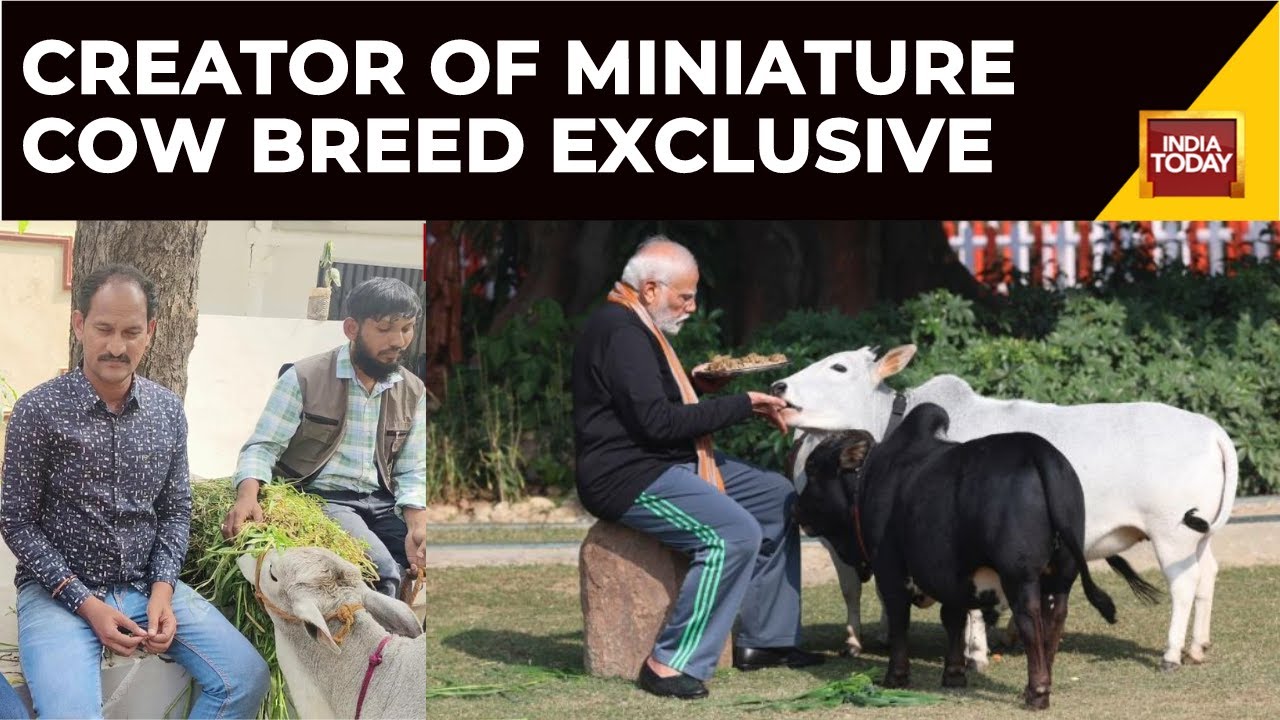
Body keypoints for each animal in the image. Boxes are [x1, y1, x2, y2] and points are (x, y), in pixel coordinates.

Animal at [774, 344, 1238, 672]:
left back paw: (1172, 654)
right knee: (1207, 575)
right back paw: (1198, 646)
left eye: (839, 368)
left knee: (1183, 585)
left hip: (1171, 533)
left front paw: (975, 653)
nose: (779, 387)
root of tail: (1212, 430)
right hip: (1195, 536)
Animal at [793, 405, 1119, 710]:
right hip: (1061, 575)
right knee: (1056, 616)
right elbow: (953, 619)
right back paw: (1042, 682)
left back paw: (1037, 692)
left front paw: (896, 677)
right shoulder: (952, 577)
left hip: (1020, 576)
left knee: (1029, 618)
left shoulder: (891, 571)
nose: (796, 507)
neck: (870, 479)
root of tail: (1038, 449)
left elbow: (900, 621)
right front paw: (954, 674)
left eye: (812, 469)